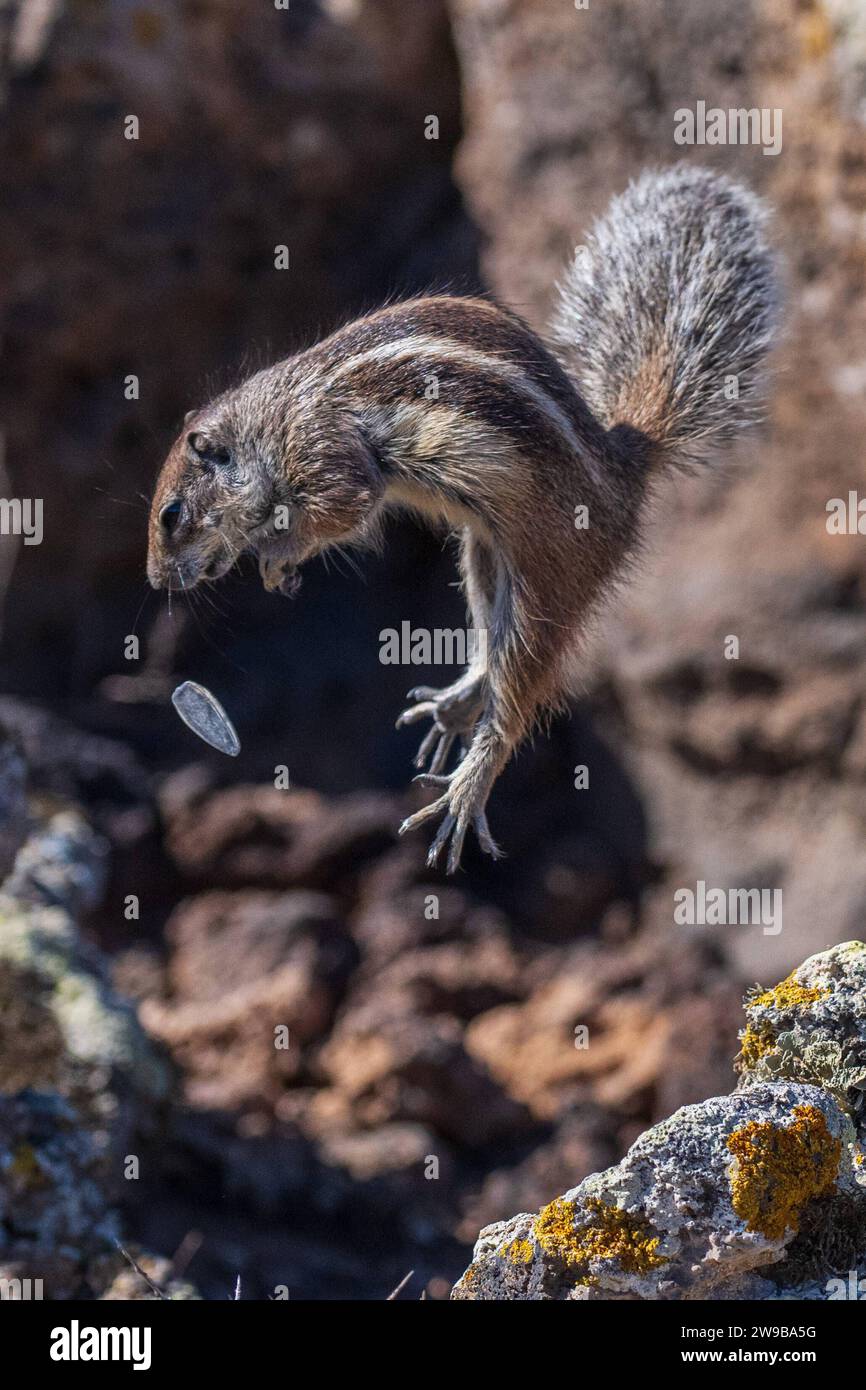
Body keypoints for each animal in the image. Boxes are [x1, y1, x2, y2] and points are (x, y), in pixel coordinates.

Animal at [147, 165, 779, 872]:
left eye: (171, 515)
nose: (156, 581)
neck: (269, 423)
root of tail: (624, 469)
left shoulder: (327, 452)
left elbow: (345, 507)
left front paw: (277, 557)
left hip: (556, 574)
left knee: (518, 687)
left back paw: (465, 790)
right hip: (483, 553)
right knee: (488, 636)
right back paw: (457, 701)